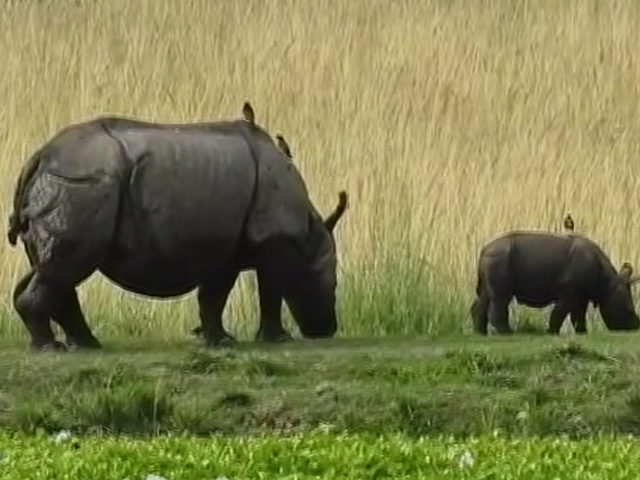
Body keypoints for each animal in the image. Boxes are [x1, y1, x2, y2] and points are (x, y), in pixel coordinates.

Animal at [7, 102, 348, 351]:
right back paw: (50, 349)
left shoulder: (224, 246)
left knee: (53, 268)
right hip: (81, 183)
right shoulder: (275, 239)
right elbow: (271, 289)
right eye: (329, 282)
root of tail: (40, 156)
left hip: (70, 183)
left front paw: (221, 341)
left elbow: (213, 296)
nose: (326, 329)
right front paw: (278, 339)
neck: (310, 231)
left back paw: (86, 345)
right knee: (66, 266)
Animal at [470, 231, 640, 335]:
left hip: (493, 264)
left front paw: (583, 333)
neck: (608, 283)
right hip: (499, 260)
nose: (636, 326)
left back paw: (481, 333)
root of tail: (484, 249)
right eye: (628, 307)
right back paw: (508, 333)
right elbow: (559, 313)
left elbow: (578, 316)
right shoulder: (570, 293)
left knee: (484, 300)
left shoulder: (581, 296)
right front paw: (552, 333)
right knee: (500, 300)